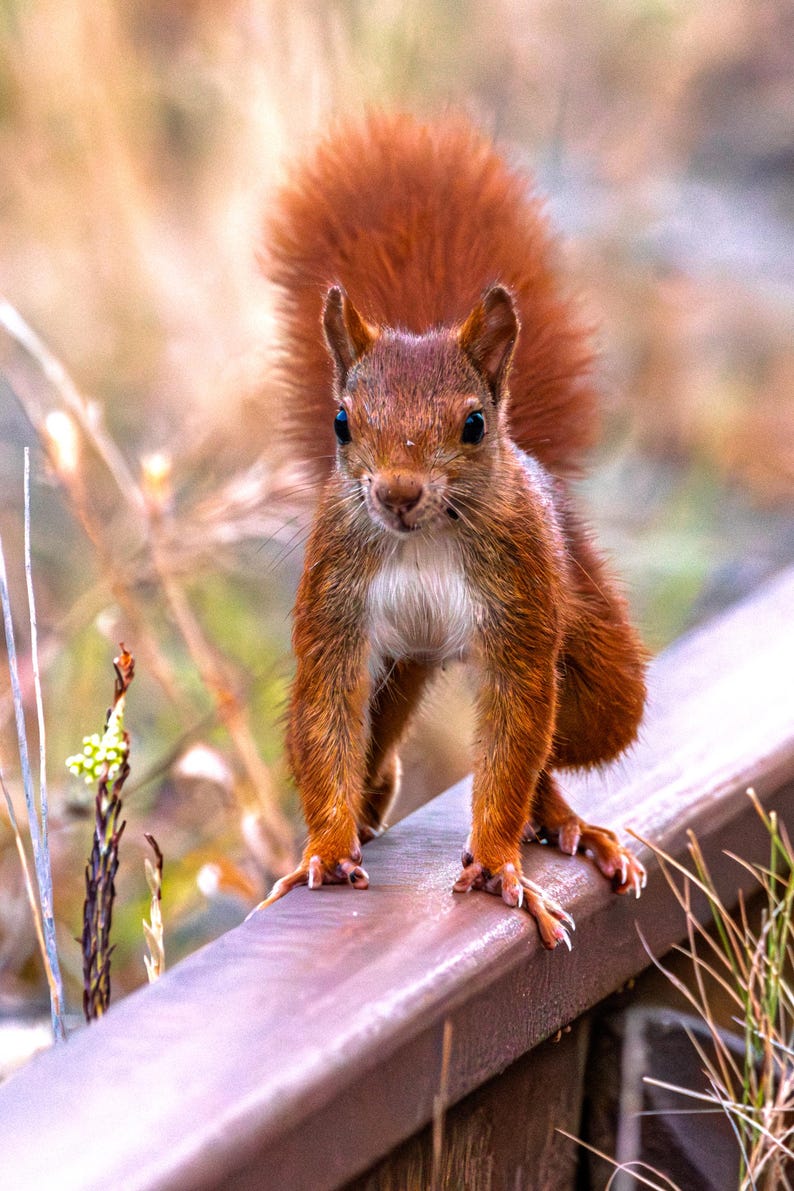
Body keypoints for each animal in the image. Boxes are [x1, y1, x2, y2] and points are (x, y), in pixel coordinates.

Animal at [252, 113, 647, 948]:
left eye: (472, 425)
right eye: (342, 421)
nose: (398, 493)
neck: (423, 536)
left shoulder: (520, 613)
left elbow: (515, 734)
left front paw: (498, 863)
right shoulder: (335, 602)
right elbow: (324, 716)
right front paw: (324, 848)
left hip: (597, 673)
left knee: (553, 747)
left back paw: (563, 820)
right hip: (395, 661)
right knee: (364, 736)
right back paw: (374, 803)